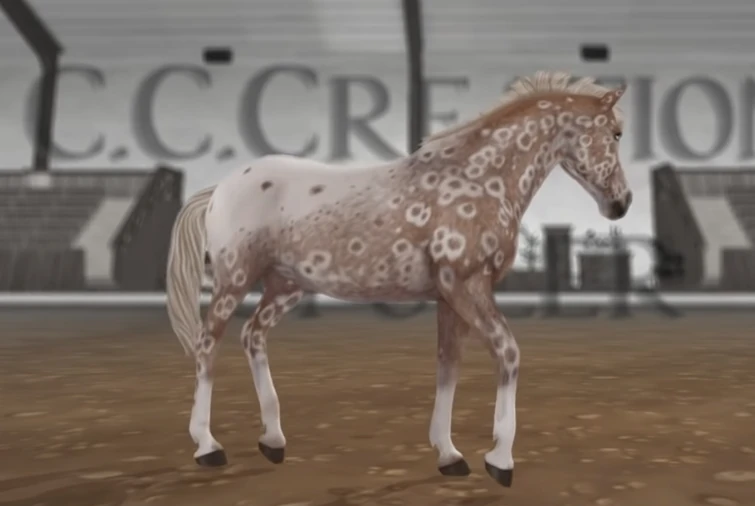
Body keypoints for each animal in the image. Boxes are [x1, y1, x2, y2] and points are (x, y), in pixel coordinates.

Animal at [165, 70, 632, 488]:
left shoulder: (449, 298)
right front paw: (500, 461)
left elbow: (448, 366)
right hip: (235, 280)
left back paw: (273, 441)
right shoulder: (467, 287)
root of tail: (219, 189)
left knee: (253, 336)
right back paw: (208, 447)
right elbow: (508, 354)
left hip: (285, 286)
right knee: (208, 345)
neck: (480, 179)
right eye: (616, 133)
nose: (622, 203)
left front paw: (449, 455)